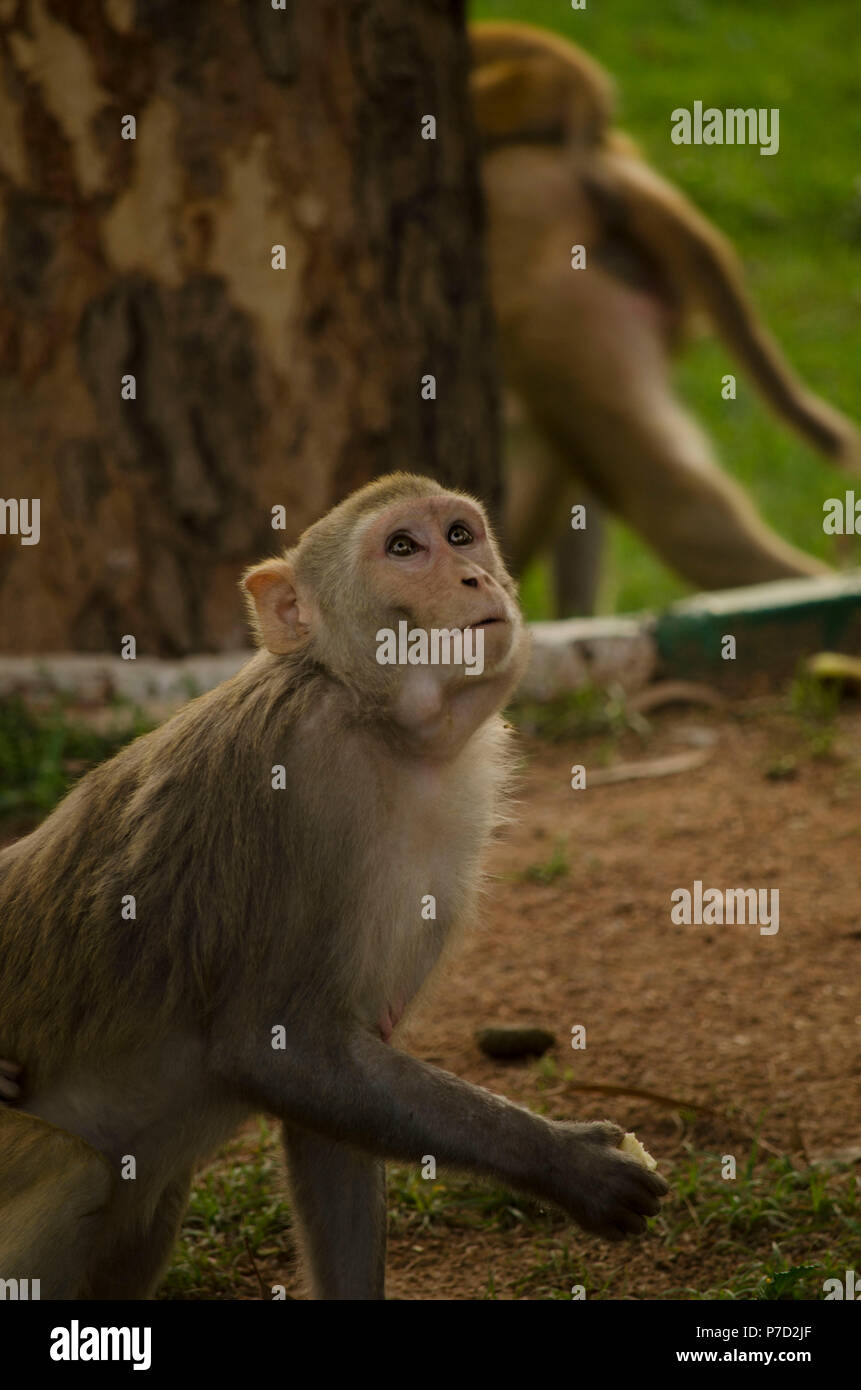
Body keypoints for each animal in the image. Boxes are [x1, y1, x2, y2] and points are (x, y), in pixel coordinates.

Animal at [0, 474, 668, 1300]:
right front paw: (567, 1160)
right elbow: (277, 1049)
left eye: (459, 536)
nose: (472, 577)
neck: (379, 726)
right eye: (403, 548)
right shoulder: (297, 771)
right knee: (72, 1173)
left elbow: (333, 1085)